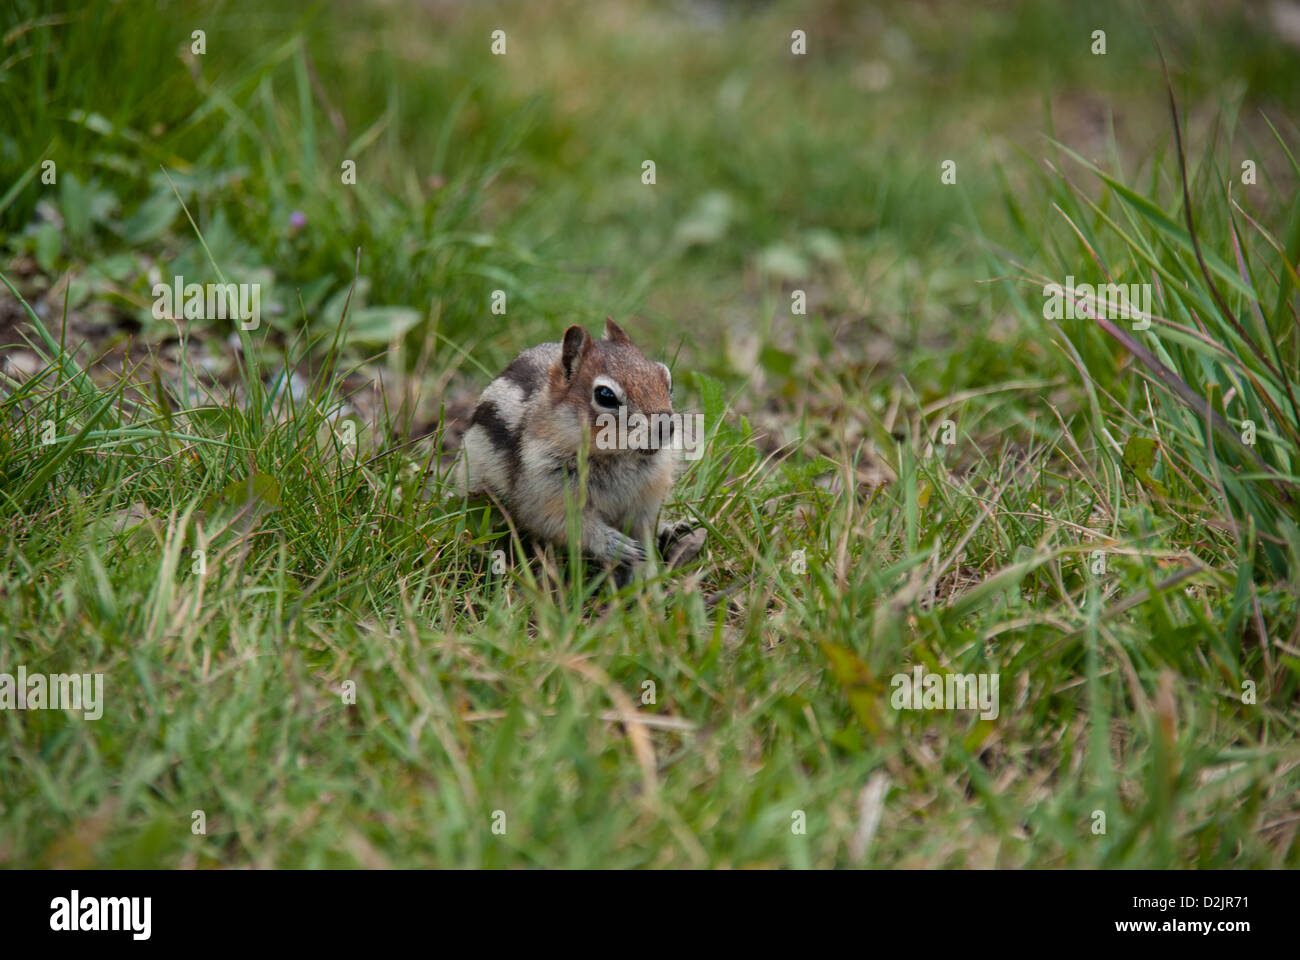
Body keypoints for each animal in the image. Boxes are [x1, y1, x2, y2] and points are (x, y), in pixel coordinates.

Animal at [459, 318, 701, 568]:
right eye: (605, 395)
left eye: (666, 379)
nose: (668, 427)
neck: (617, 457)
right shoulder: (546, 493)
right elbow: (570, 526)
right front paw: (616, 545)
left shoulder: (648, 497)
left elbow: (646, 526)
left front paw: (664, 532)